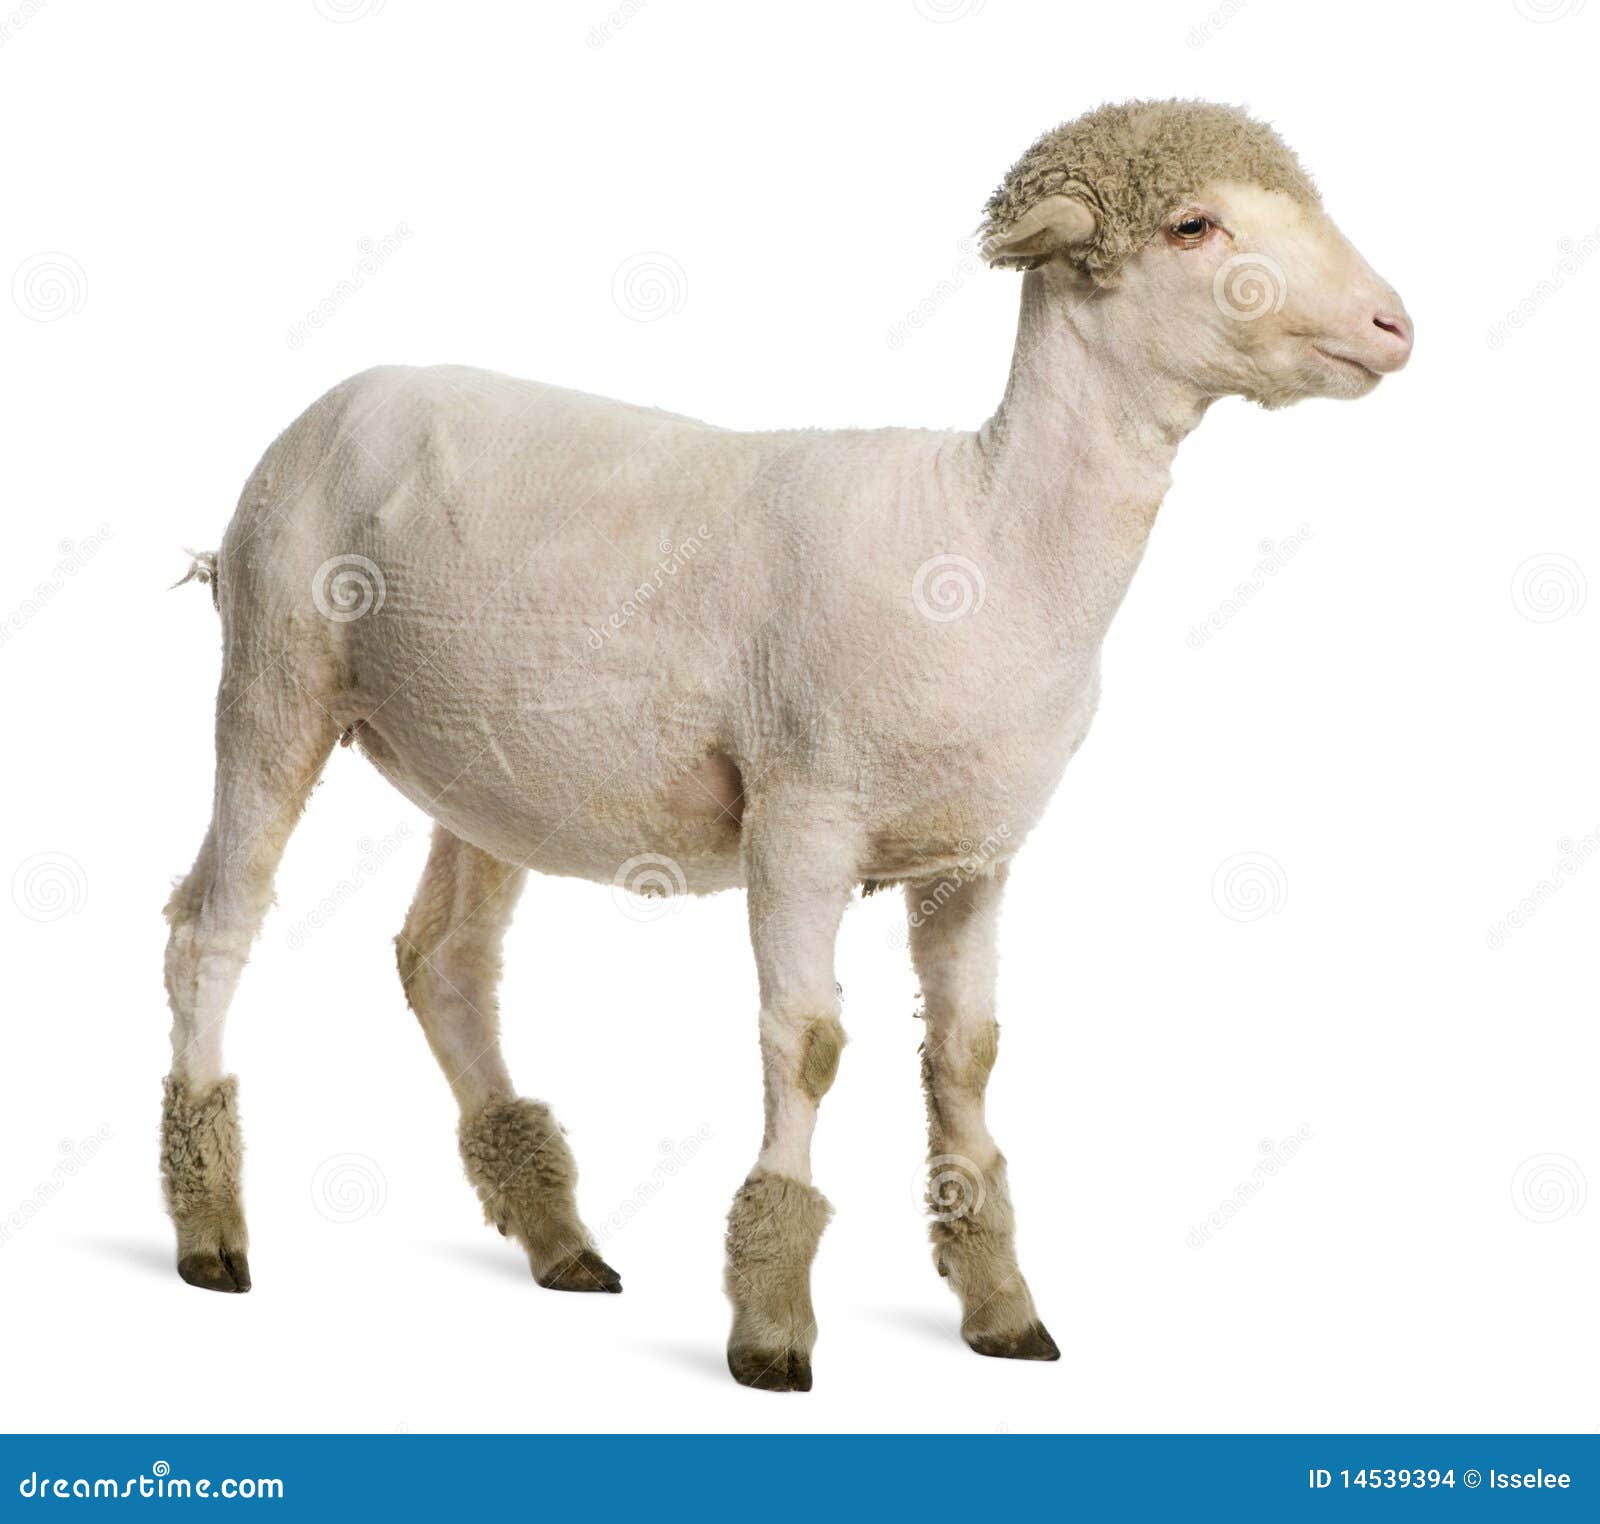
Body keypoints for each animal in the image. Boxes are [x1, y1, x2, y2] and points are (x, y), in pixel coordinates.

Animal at [161, 99, 1411, 1391]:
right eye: (1192, 225)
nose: (1393, 326)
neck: (989, 532)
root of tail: (344, 392)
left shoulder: (973, 853)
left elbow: (966, 1055)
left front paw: (1002, 1308)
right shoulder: (801, 819)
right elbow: (806, 1046)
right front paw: (770, 1322)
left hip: (481, 763)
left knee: (445, 962)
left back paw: (560, 1239)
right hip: (274, 676)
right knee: (214, 927)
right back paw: (210, 1229)